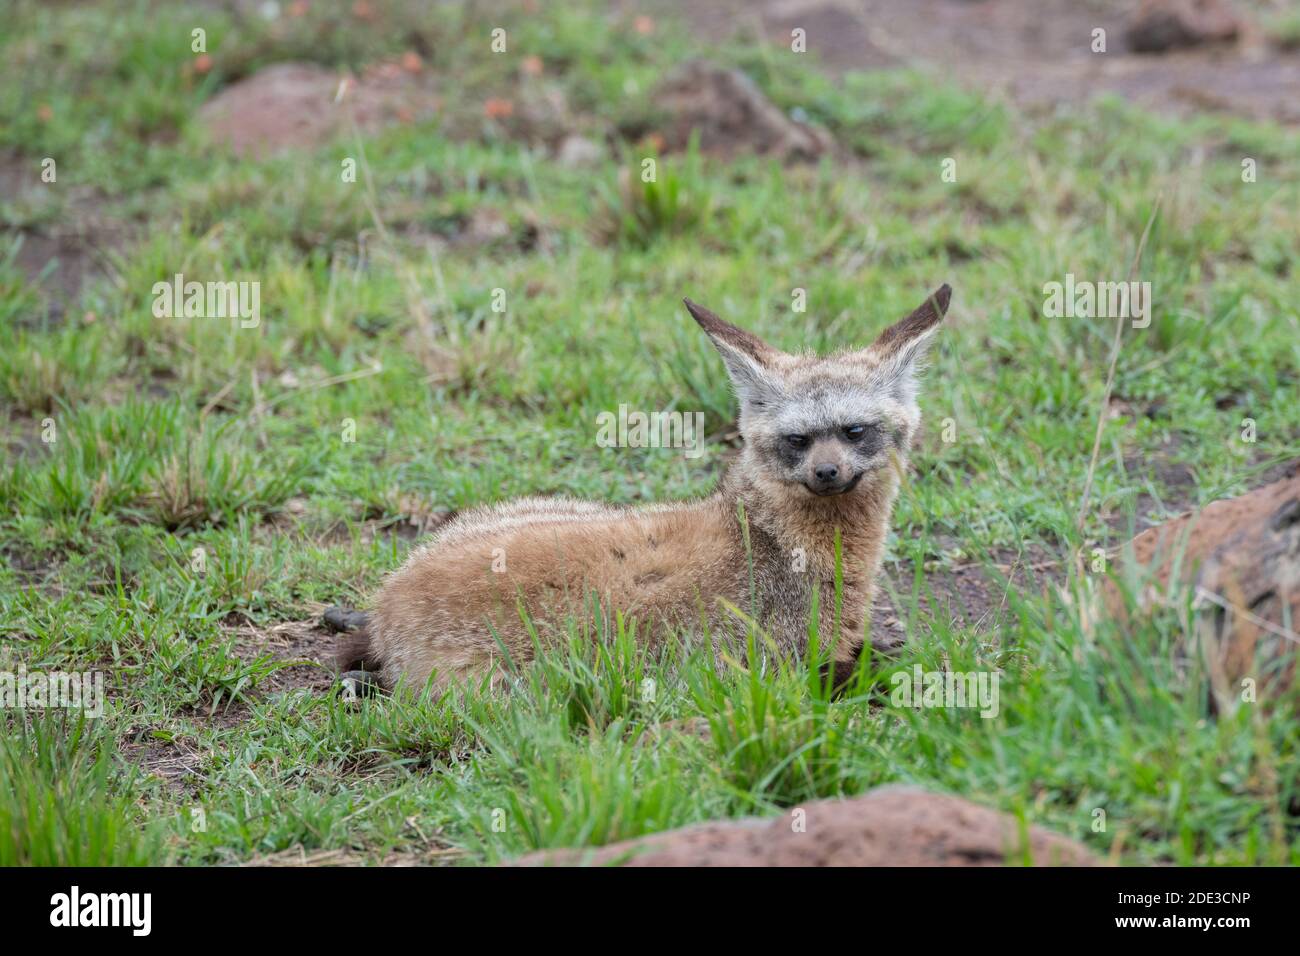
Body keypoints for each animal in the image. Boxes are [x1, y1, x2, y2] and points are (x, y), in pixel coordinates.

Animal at [334, 284, 952, 694]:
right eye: (797, 440)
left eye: (854, 431)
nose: (827, 473)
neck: (771, 539)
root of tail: (389, 605)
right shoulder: (766, 669)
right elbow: (878, 666)